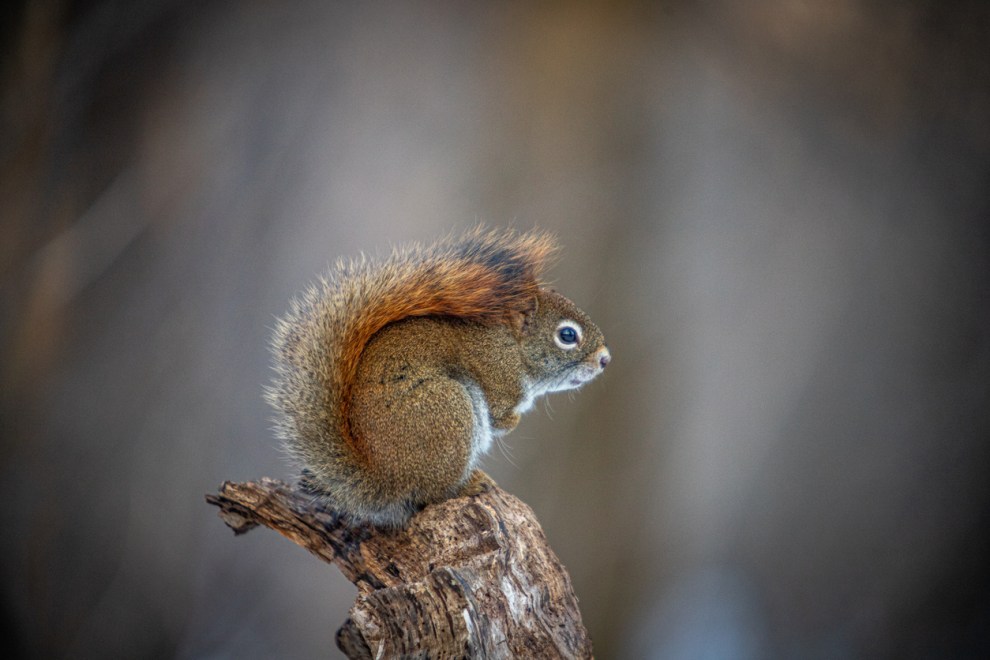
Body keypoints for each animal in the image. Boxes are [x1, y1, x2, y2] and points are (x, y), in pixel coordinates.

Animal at [265, 227, 610, 527]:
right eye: (567, 335)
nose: (606, 359)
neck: (512, 346)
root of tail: (385, 480)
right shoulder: (498, 380)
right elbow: (500, 417)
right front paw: (514, 422)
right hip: (449, 409)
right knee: (433, 493)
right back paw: (470, 485)